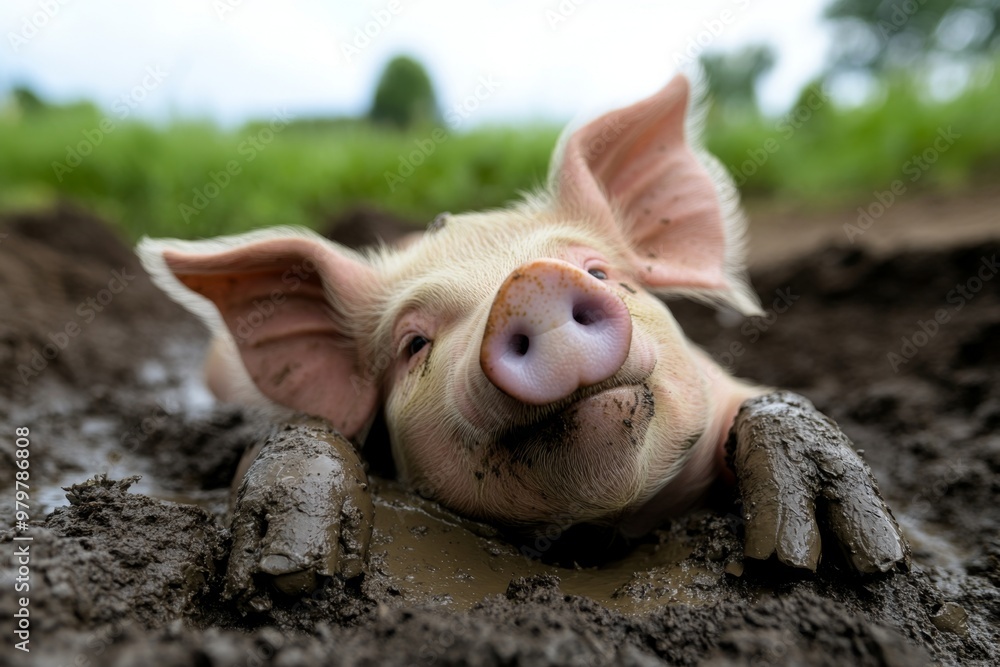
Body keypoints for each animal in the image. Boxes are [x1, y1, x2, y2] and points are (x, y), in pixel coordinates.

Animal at [138, 74, 908, 600]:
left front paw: (849, 561)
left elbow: (773, 402)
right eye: (414, 345)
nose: (532, 282)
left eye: (599, 271)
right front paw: (287, 575)